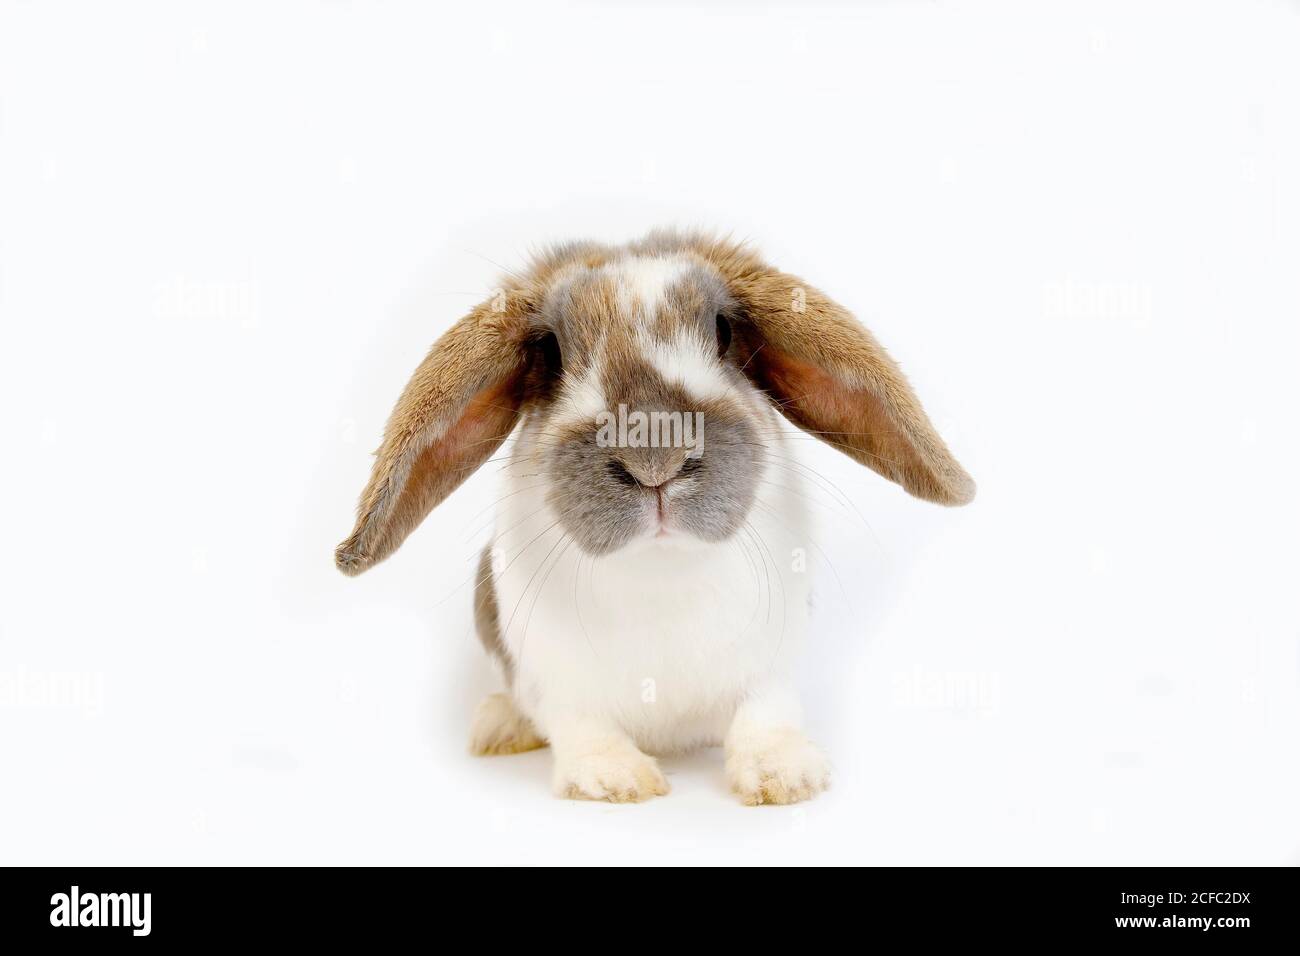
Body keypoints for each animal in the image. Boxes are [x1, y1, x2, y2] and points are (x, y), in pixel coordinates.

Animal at [335, 230, 974, 804]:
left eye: (723, 331)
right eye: (551, 352)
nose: (654, 458)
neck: (660, 565)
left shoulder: (771, 661)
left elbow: (766, 713)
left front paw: (785, 775)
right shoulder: (557, 678)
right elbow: (580, 724)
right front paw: (615, 779)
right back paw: (500, 728)